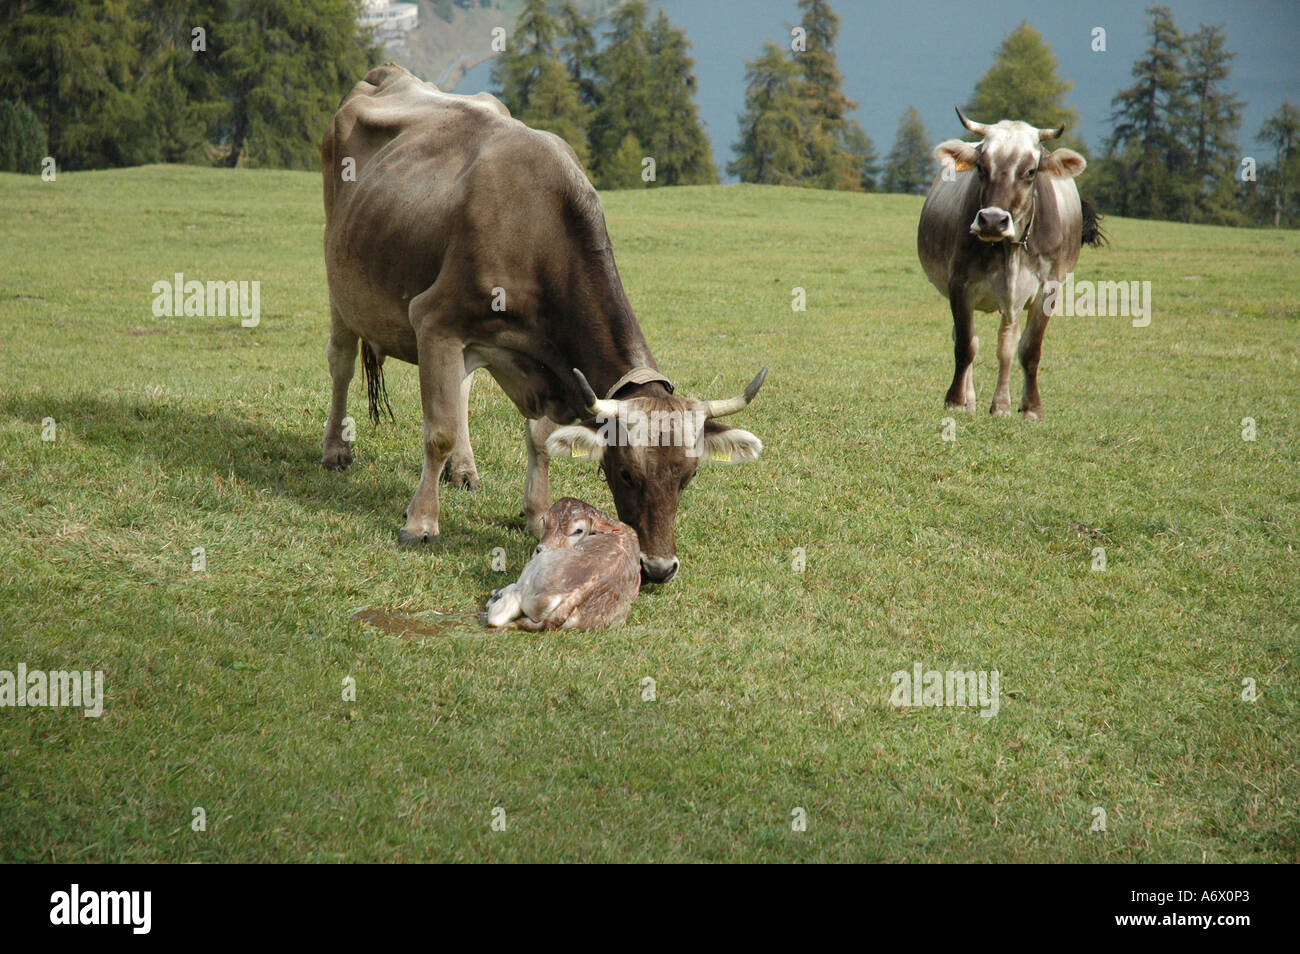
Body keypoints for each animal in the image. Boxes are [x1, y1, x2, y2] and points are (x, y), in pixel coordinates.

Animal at [320, 65, 766, 583]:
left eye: (689, 477)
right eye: (626, 473)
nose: (658, 568)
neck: (538, 236)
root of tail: (388, 73)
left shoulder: (546, 364)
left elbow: (540, 438)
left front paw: (536, 515)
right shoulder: (434, 321)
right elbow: (439, 431)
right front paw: (421, 523)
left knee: (462, 387)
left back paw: (464, 470)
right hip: (341, 282)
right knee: (341, 363)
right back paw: (336, 450)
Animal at [917, 107, 1104, 420]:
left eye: (1030, 172)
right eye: (981, 167)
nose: (992, 219)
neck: (1009, 247)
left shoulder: (1045, 290)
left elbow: (1028, 350)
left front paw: (1029, 408)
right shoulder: (960, 285)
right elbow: (965, 345)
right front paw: (956, 401)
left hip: (1013, 300)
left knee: (1006, 344)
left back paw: (1001, 404)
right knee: (972, 339)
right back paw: (971, 401)